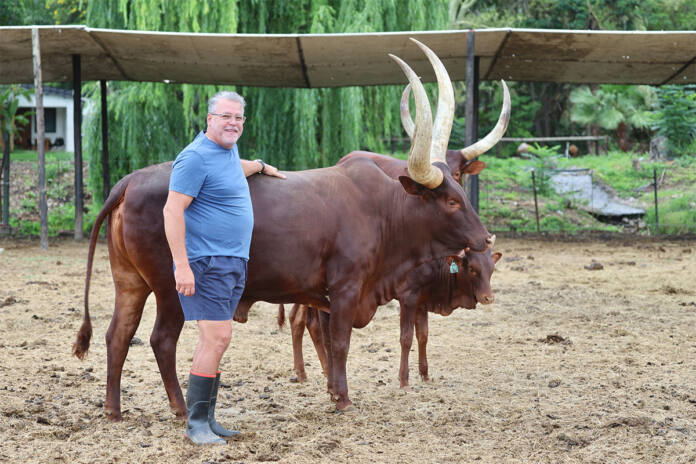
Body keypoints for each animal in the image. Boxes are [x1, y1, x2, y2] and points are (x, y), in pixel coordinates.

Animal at [73, 38, 509, 419]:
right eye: (451, 201)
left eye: (462, 186)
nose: (485, 238)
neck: (384, 212)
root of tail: (130, 181)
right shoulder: (347, 287)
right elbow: (340, 342)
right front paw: (344, 399)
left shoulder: (328, 296)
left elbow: (329, 341)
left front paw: (333, 391)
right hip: (171, 288)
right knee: (161, 340)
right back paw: (180, 408)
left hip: (129, 281)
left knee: (117, 334)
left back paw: (113, 409)